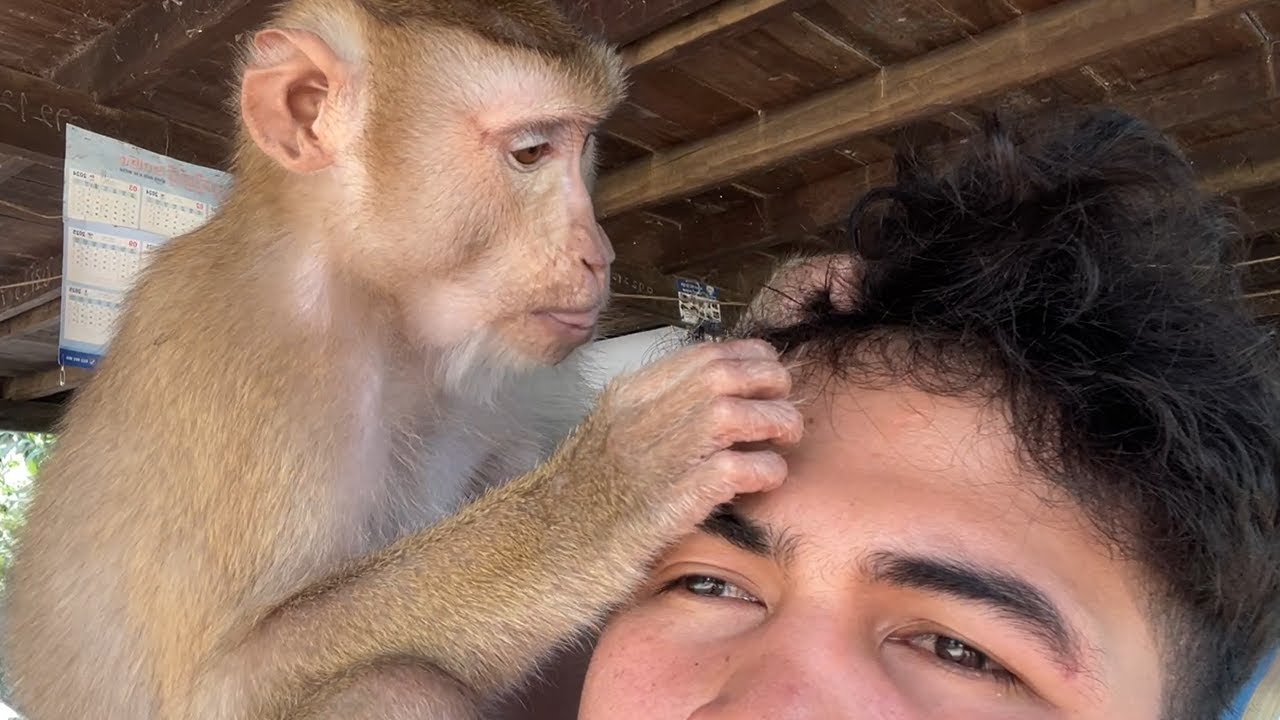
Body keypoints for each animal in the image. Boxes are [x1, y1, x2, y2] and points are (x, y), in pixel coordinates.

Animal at [0, 2, 805, 719]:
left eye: (584, 149)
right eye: (532, 151)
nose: (597, 253)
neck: (384, 312)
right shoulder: (256, 368)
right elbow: (223, 686)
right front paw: (615, 483)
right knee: (390, 687)